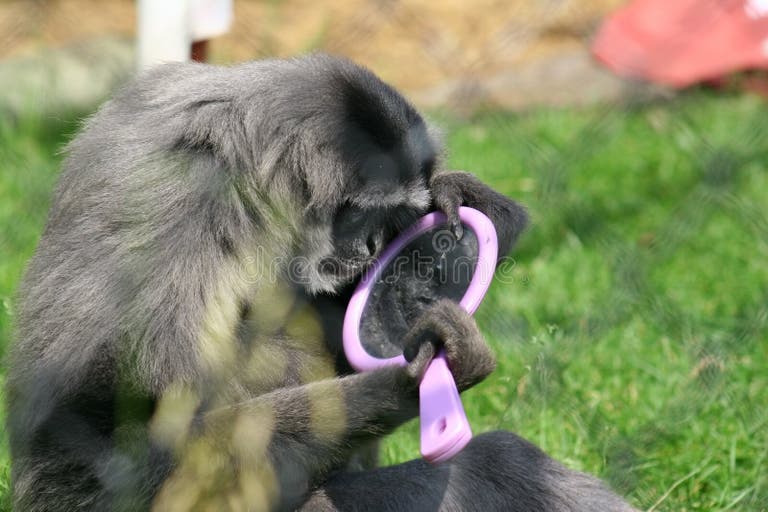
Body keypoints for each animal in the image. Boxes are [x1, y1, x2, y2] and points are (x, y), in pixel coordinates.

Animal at [6, 54, 637, 511]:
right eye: (363, 217)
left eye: (395, 220)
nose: (372, 248)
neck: (243, 183)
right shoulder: (174, 202)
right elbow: (109, 437)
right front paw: (412, 379)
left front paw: (474, 202)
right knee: (493, 459)